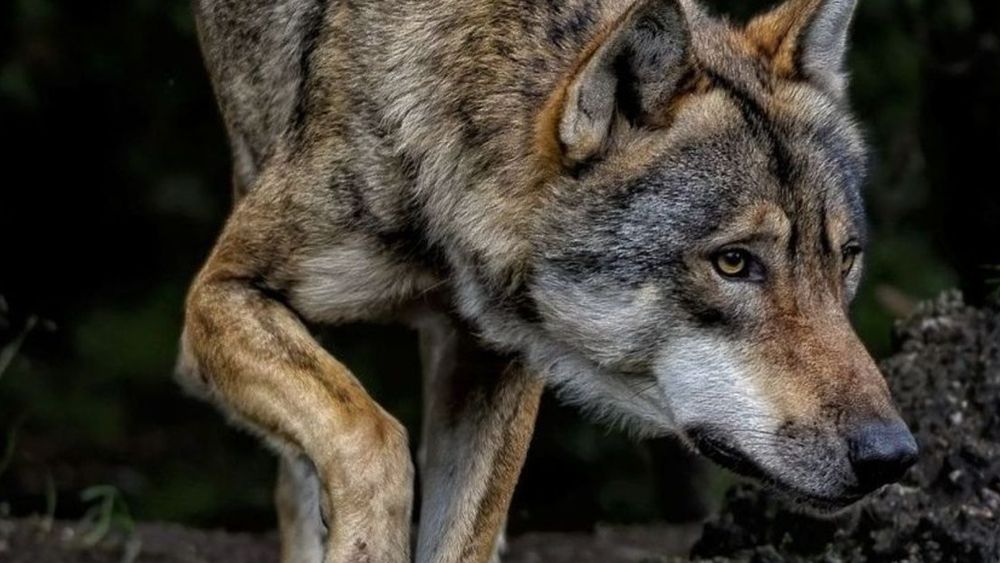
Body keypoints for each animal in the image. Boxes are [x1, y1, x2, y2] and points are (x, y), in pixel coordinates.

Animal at [178, 0, 919, 560]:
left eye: (844, 258)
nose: (893, 455)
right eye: (734, 262)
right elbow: (372, 436)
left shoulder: (497, 356)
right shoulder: (217, 298)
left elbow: (464, 532)